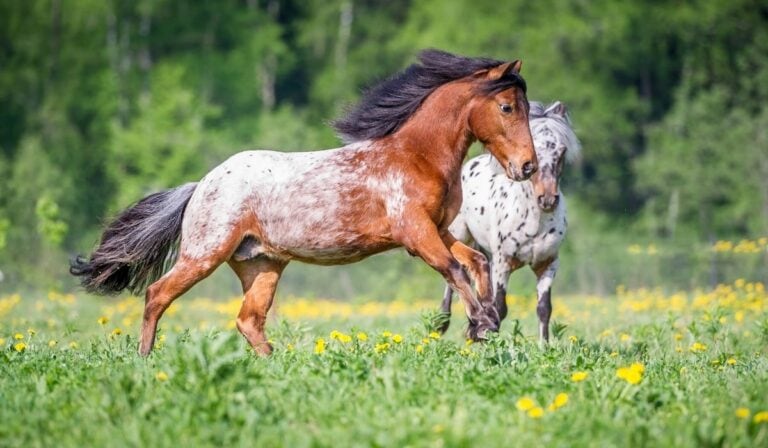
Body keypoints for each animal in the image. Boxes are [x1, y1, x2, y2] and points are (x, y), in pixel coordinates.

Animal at [70, 49, 538, 356]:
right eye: (507, 107)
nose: (528, 166)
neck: (417, 155)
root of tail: (201, 185)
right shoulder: (416, 233)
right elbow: (454, 269)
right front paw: (483, 323)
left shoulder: (437, 229)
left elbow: (476, 263)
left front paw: (485, 323)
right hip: (204, 254)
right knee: (157, 295)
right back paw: (145, 361)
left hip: (262, 265)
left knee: (248, 320)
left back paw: (275, 363)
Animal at [439, 101, 580, 342]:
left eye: (561, 151)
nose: (547, 199)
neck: (534, 222)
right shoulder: (502, 264)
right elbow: (499, 308)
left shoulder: (548, 264)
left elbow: (544, 308)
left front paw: (544, 346)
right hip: (459, 235)